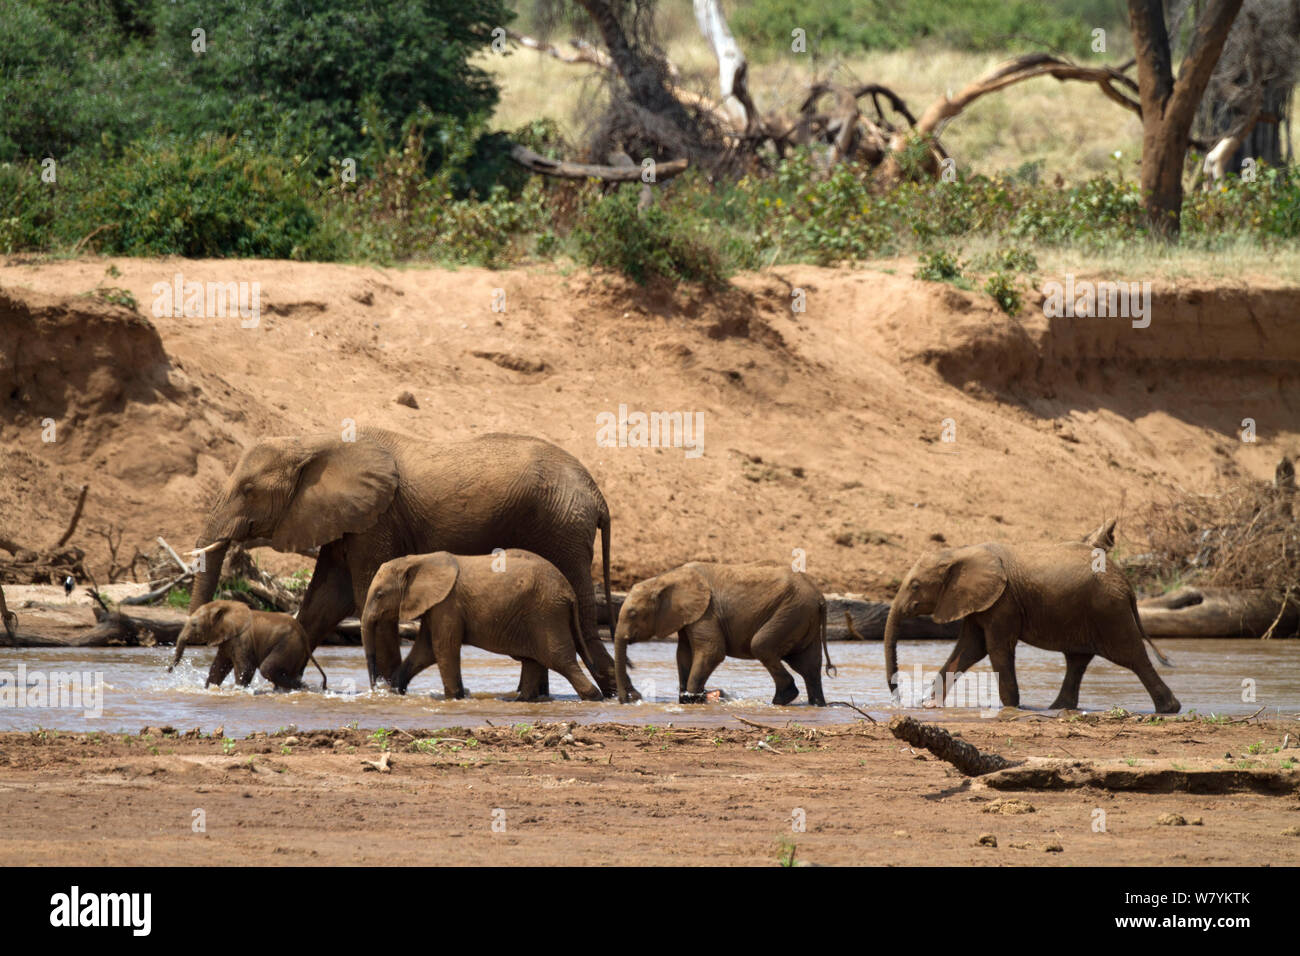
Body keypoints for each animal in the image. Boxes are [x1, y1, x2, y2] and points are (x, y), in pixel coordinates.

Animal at [168, 600, 327, 690]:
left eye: (194, 625)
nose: (169, 671)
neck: (225, 605)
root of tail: (304, 635)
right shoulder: (228, 640)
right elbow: (218, 667)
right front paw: (208, 689)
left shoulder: (242, 638)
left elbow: (245, 667)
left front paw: (238, 691)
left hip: (288, 644)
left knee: (267, 668)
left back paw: (305, 688)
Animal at [362, 550, 603, 701]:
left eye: (379, 595)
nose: (375, 687)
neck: (417, 559)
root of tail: (570, 592)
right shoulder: (436, 606)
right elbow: (425, 651)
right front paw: (395, 690)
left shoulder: (448, 603)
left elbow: (443, 648)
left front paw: (455, 698)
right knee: (533, 661)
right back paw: (520, 701)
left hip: (547, 614)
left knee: (559, 659)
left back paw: (594, 697)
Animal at [614, 563, 836, 706]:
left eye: (633, 614)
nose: (632, 697)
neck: (665, 578)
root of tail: (820, 597)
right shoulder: (689, 617)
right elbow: (683, 655)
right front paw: (687, 699)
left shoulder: (707, 612)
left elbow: (711, 652)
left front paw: (695, 698)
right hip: (802, 617)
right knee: (808, 665)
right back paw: (817, 704)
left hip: (791, 612)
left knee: (761, 646)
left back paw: (781, 700)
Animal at [883, 540, 1180, 714]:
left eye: (915, 586)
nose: (899, 701)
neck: (960, 551)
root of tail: (1128, 586)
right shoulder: (979, 601)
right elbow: (970, 649)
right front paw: (929, 705)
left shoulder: (1003, 601)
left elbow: (996, 649)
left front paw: (1013, 707)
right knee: (1077, 660)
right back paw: (1056, 708)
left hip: (1109, 611)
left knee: (1132, 656)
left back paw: (1169, 709)